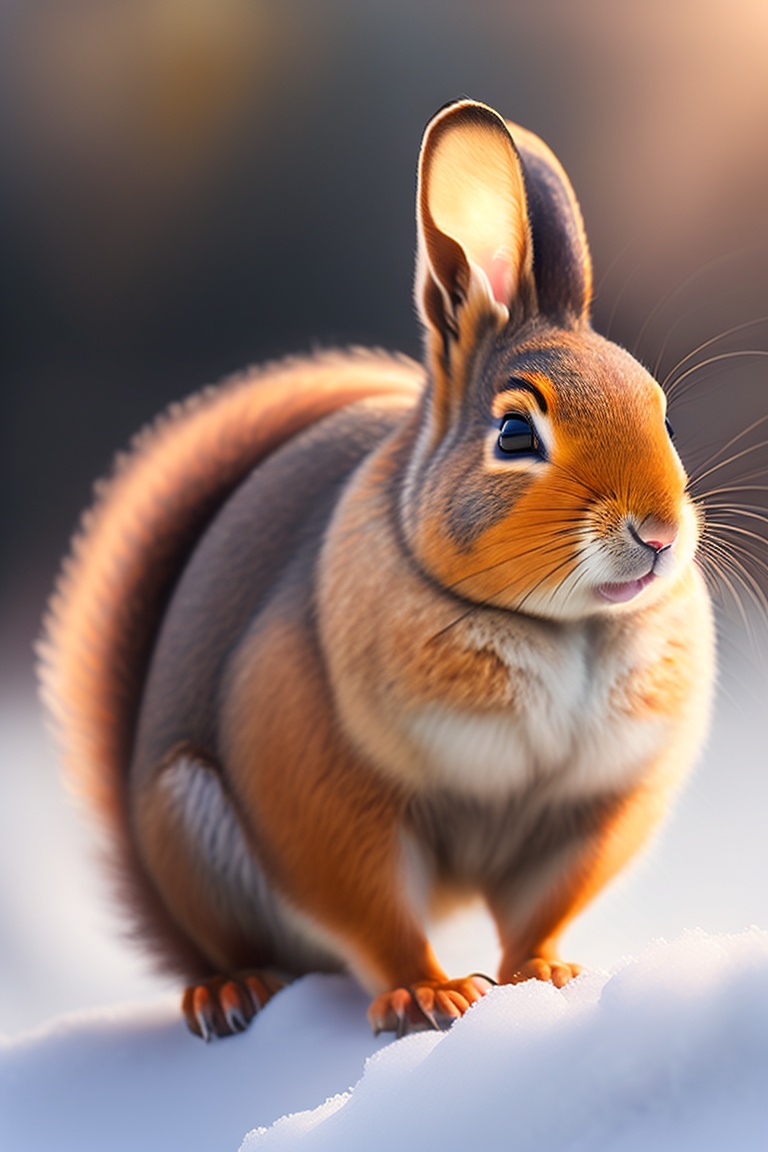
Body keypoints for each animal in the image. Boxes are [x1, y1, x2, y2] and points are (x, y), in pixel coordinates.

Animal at [39, 99, 715, 1040]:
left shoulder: (601, 800)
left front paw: (544, 971)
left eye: (664, 415)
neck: (564, 631)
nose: (656, 532)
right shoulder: (311, 764)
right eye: (515, 433)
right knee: (255, 948)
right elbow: (371, 903)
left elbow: (545, 903)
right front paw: (426, 991)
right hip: (194, 825)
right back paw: (228, 988)